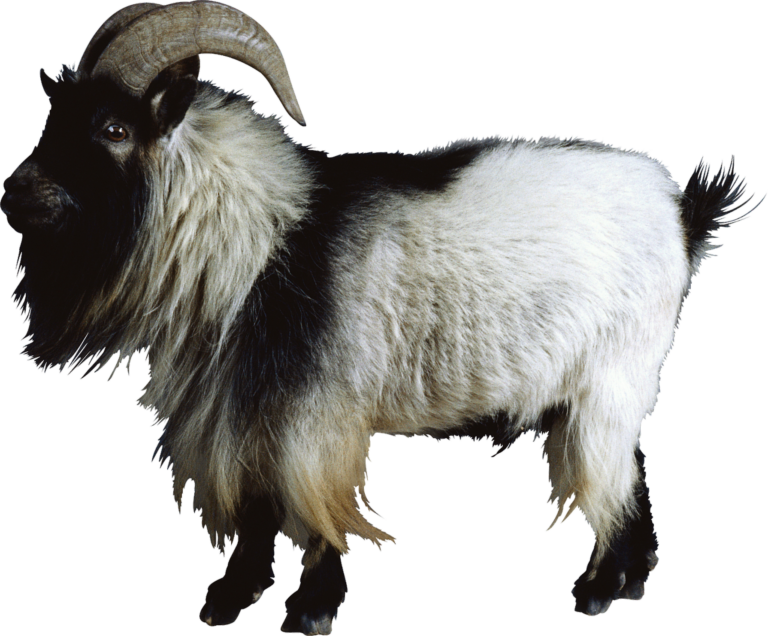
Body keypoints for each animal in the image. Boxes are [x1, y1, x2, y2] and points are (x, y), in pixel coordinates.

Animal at [1, 1, 764, 632]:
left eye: (112, 127)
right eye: (54, 117)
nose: (14, 193)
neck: (264, 238)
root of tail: (683, 213)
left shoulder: (315, 411)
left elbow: (312, 501)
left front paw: (310, 609)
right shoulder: (244, 407)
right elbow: (255, 504)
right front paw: (230, 599)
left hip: (609, 379)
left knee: (613, 476)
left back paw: (600, 589)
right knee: (634, 469)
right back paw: (628, 582)